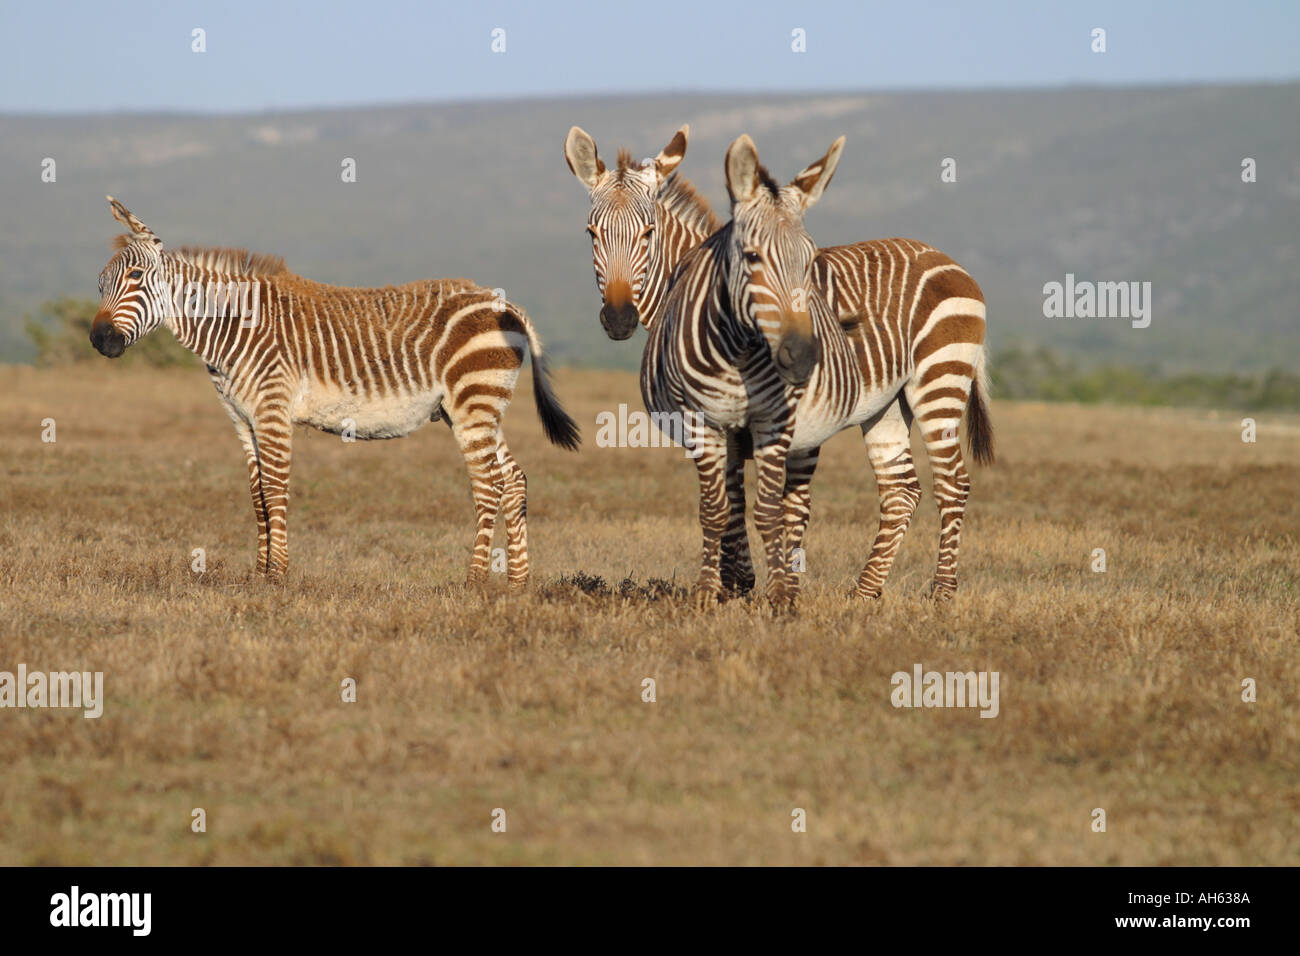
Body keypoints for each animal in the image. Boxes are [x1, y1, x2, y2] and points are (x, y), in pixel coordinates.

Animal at [90, 197, 580, 586]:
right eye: (100, 283)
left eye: (136, 276)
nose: (98, 340)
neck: (236, 328)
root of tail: (504, 302)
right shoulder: (241, 419)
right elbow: (256, 494)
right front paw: (258, 573)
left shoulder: (272, 409)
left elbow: (275, 488)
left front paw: (277, 575)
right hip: (477, 408)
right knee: (514, 480)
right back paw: (516, 582)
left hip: (473, 402)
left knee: (489, 484)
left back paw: (474, 580)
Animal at [566, 126, 993, 601]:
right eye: (591, 233)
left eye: (648, 233)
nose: (618, 318)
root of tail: (943, 258)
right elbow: (733, 499)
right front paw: (737, 581)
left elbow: (783, 506)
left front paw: (761, 582)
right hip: (885, 403)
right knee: (901, 489)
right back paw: (864, 593)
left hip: (939, 381)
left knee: (952, 483)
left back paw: (941, 593)